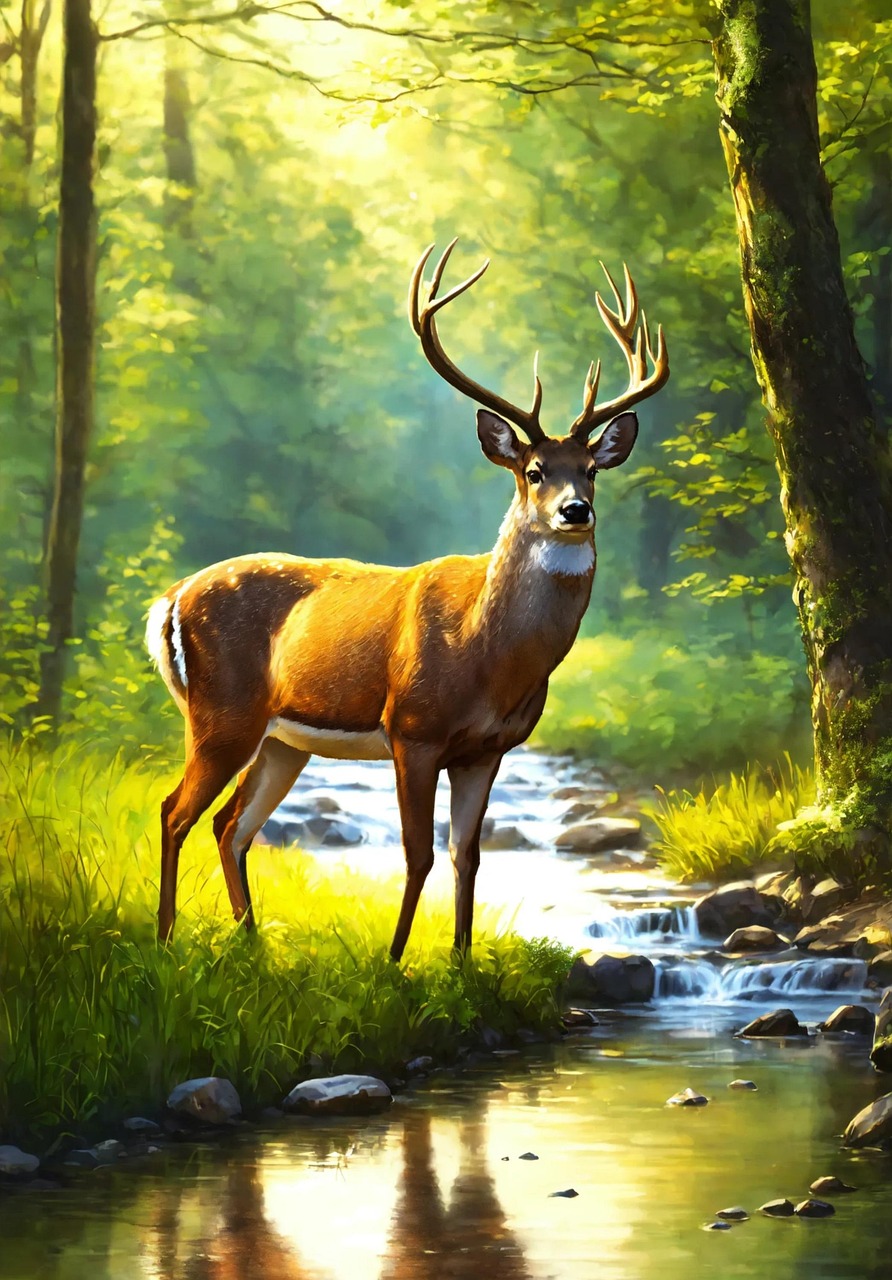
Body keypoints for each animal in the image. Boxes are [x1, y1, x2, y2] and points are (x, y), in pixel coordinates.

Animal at [145, 240, 669, 960]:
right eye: (535, 471)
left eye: (591, 470)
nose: (575, 511)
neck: (490, 654)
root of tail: (168, 600)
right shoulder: (412, 729)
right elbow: (417, 854)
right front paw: (393, 963)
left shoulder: (487, 749)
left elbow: (467, 856)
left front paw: (462, 963)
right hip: (222, 711)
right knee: (175, 811)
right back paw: (165, 940)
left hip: (282, 739)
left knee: (230, 823)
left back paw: (251, 943)